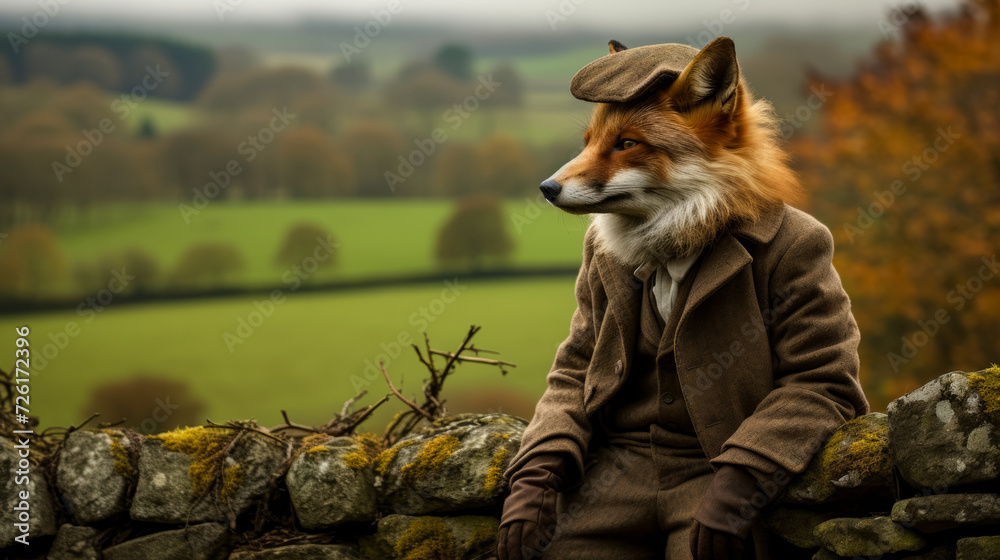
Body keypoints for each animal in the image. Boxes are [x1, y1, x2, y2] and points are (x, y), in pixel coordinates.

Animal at [499, 37, 868, 560]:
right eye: (588, 141)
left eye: (627, 144)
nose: (546, 188)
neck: (678, 242)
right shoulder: (586, 332)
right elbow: (574, 367)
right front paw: (530, 495)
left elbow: (817, 373)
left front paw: (723, 507)